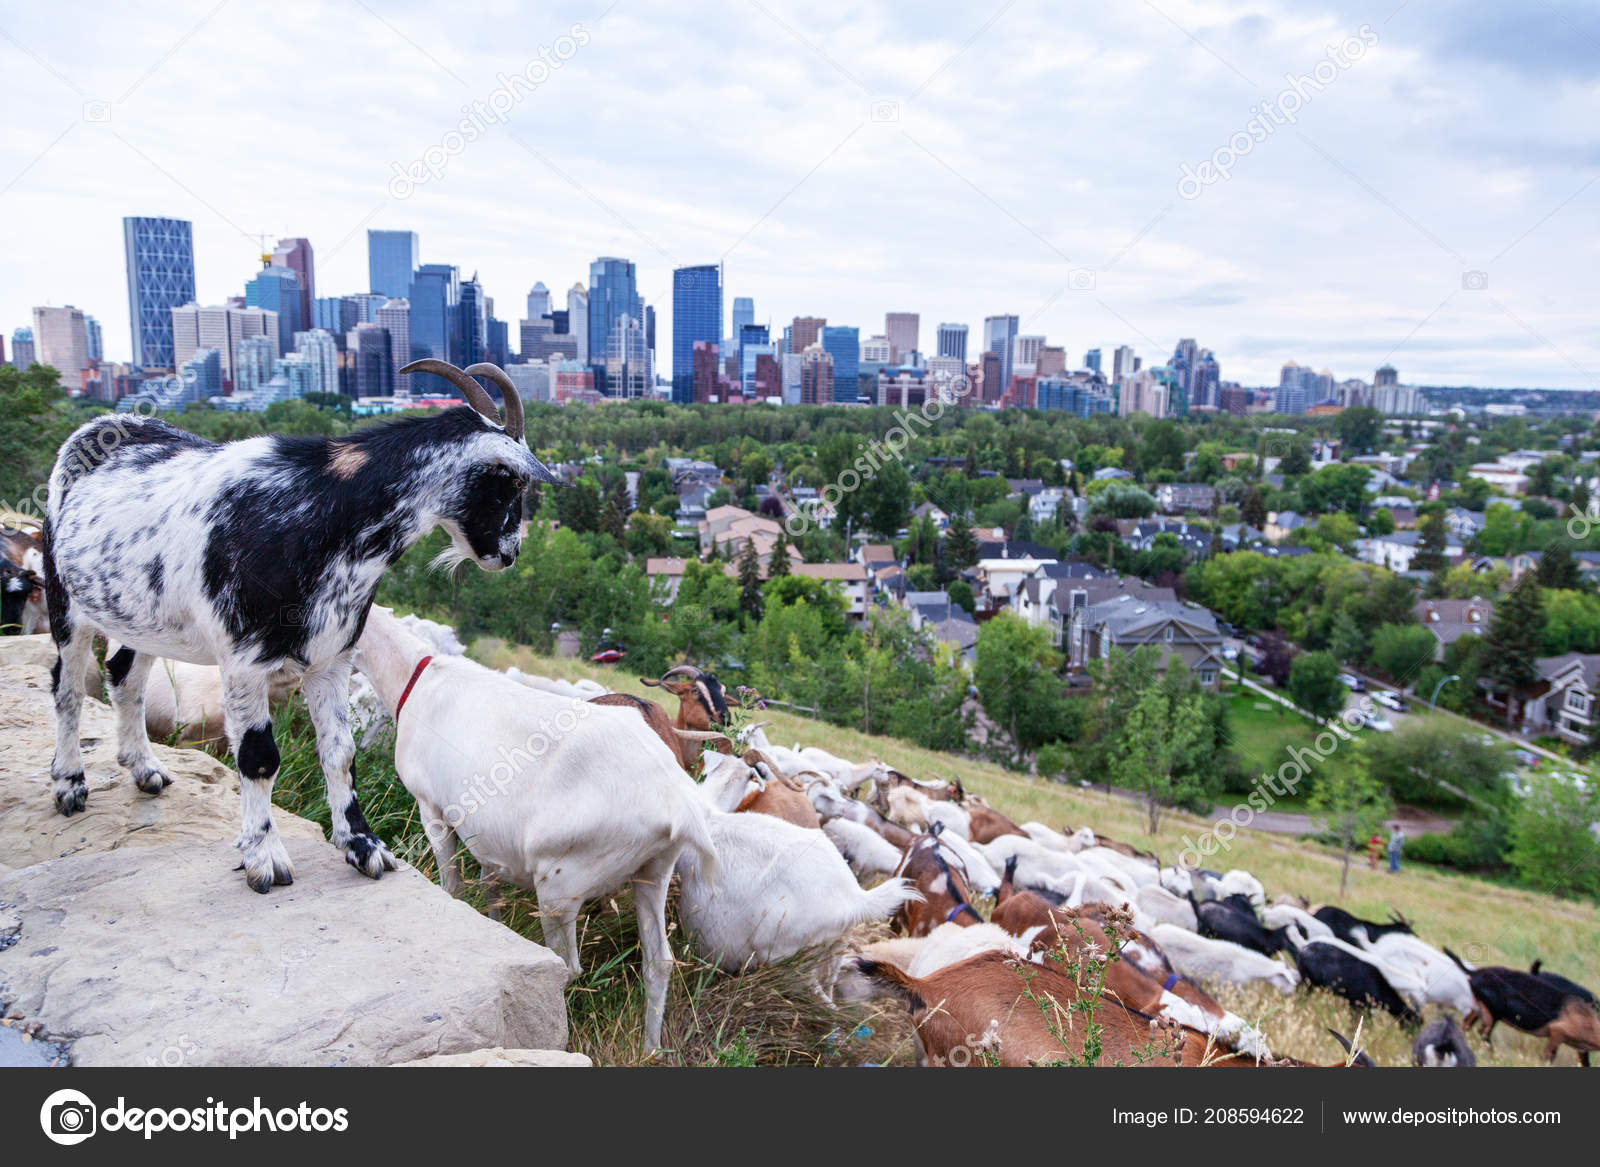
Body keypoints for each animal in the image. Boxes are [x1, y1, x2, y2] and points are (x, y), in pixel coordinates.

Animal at [42, 359, 561, 893]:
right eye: (512, 483)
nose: (509, 553)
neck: (317, 514)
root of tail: (102, 425)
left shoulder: (332, 658)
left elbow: (340, 752)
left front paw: (363, 847)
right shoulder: (243, 662)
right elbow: (259, 756)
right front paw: (264, 857)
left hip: (142, 618)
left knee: (125, 678)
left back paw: (145, 770)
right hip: (66, 599)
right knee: (67, 688)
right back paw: (70, 783)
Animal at [355, 605, 715, 1051]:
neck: (416, 679)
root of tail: (678, 799)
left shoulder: (433, 808)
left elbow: (452, 883)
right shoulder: (487, 836)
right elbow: (490, 885)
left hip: (562, 883)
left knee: (567, 967)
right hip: (654, 869)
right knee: (659, 962)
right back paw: (650, 1048)